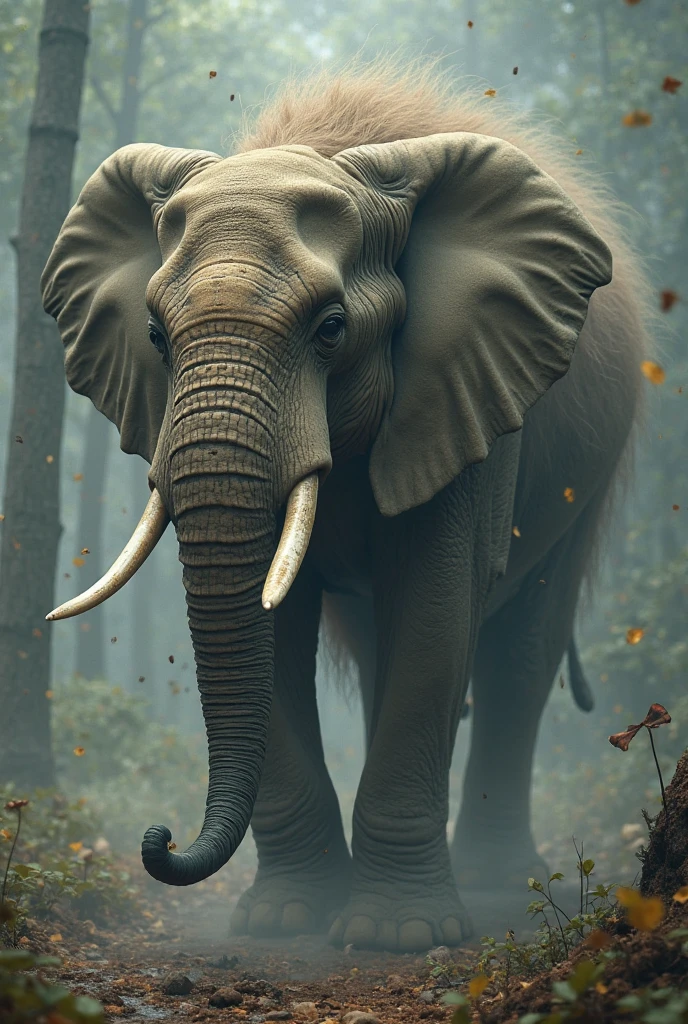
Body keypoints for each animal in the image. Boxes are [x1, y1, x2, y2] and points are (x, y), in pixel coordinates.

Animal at [42, 63, 651, 952]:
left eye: (331, 329)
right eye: (154, 335)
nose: (159, 839)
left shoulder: (470, 384)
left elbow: (435, 606)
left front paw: (400, 936)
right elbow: (281, 627)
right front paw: (284, 921)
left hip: (591, 472)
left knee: (520, 649)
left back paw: (502, 883)